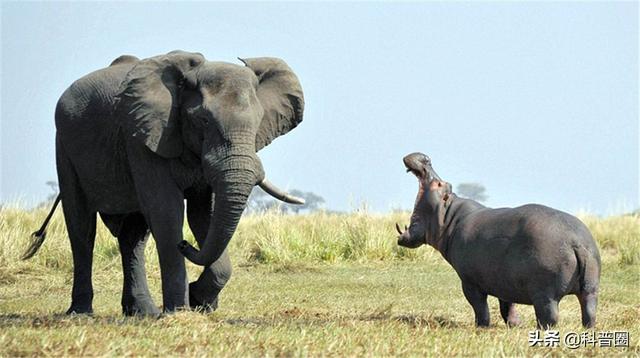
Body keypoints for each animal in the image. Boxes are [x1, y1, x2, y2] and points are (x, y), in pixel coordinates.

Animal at [28, 51, 308, 316]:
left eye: (258, 122)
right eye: (204, 121)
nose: (185, 244)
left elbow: (203, 215)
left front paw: (198, 301)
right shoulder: (143, 137)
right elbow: (167, 212)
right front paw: (181, 310)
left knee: (133, 236)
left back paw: (142, 312)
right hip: (64, 146)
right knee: (81, 227)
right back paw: (81, 313)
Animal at [396, 152, 600, 328]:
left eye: (439, 184)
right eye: (447, 184)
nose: (426, 158)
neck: (449, 217)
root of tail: (577, 242)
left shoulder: (469, 281)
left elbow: (479, 306)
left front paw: (481, 326)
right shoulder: (505, 281)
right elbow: (507, 306)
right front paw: (515, 324)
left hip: (545, 294)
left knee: (549, 316)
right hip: (591, 288)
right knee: (589, 310)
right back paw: (587, 329)